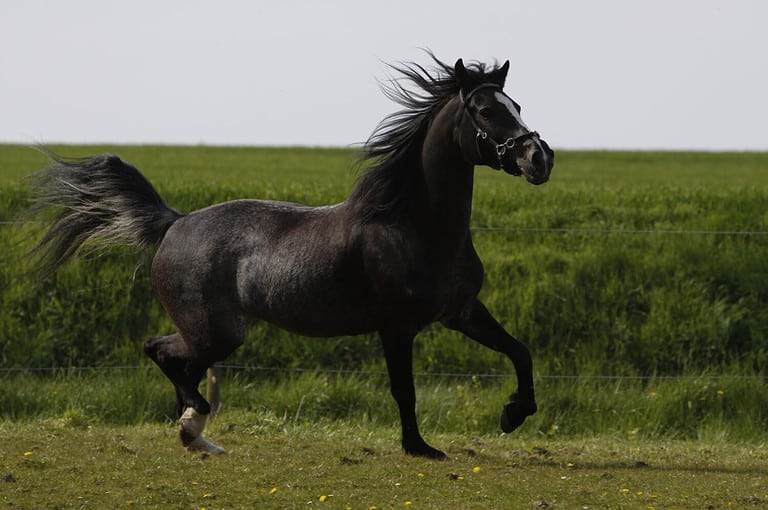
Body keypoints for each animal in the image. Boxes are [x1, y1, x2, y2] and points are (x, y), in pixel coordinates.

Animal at [27, 54, 554, 458]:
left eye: (517, 105)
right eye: (484, 109)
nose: (539, 158)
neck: (415, 226)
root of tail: (175, 221)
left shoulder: (460, 311)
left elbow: (520, 351)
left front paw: (513, 414)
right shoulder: (397, 326)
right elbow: (404, 388)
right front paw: (419, 448)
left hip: (213, 334)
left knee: (176, 361)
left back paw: (196, 434)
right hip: (215, 332)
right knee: (161, 351)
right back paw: (196, 425)